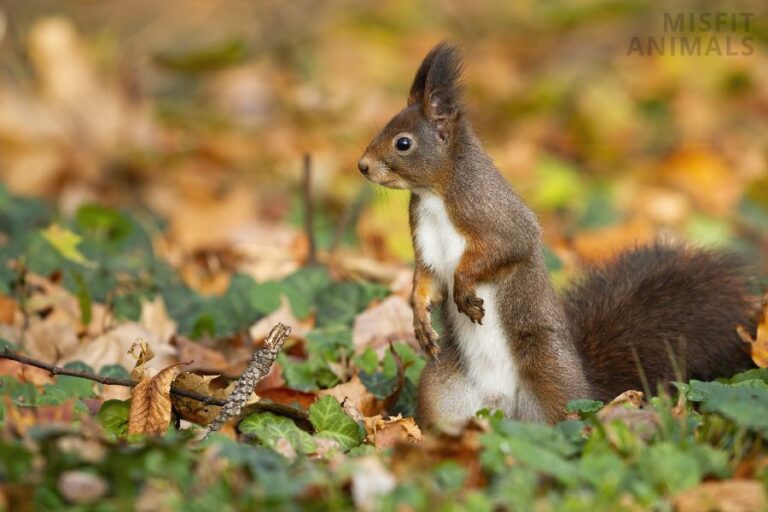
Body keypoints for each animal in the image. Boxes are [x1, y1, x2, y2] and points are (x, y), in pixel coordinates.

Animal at [357, 42, 758, 433]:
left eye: (403, 143)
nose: (362, 166)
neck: (434, 194)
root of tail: (503, 409)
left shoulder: (495, 215)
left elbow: (505, 249)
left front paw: (464, 287)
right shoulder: (423, 236)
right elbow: (426, 279)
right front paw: (419, 316)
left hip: (548, 373)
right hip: (441, 390)